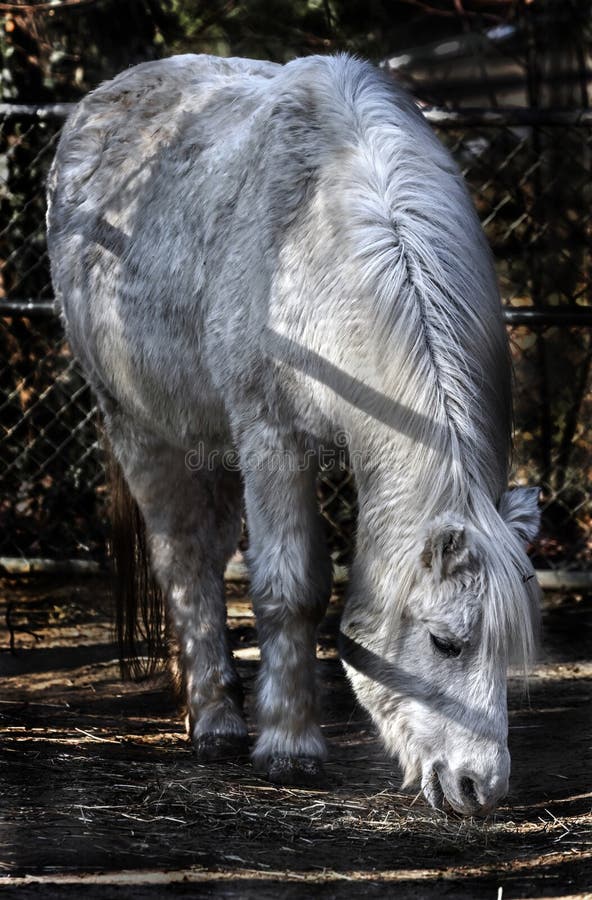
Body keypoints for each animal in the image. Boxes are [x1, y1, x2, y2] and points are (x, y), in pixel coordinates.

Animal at [46, 52, 541, 816]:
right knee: (184, 559)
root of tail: (104, 100)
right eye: (445, 643)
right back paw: (216, 722)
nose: (478, 788)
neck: (324, 242)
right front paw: (288, 744)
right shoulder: (272, 438)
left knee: (209, 549)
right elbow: (291, 586)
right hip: (138, 425)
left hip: (208, 445)